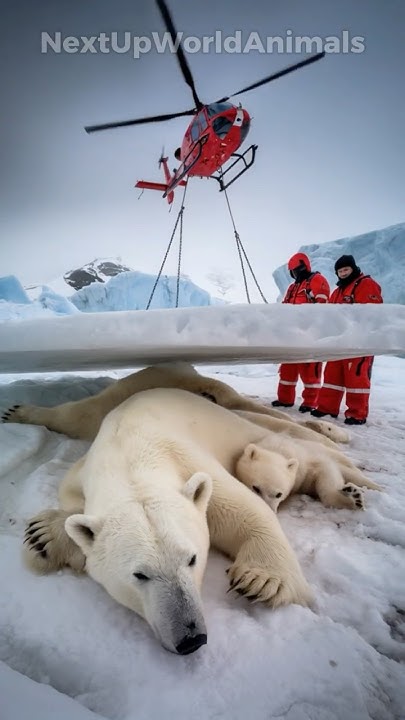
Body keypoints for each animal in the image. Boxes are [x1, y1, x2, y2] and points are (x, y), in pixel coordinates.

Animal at [23, 388, 314, 654]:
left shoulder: (187, 459)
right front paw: (45, 536)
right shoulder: (83, 474)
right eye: (140, 575)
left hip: (225, 426)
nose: (191, 639)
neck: (129, 456)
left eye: (192, 559)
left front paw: (262, 580)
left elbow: (244, 508)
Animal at [235, 436, 381, 514]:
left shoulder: (307, 462)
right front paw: (354, 497)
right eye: (256, 488)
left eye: (279, 494)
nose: (270, 512)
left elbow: (326, 470)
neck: (278, 450)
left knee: (352, 471)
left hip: (332, 453)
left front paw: (354, 497)